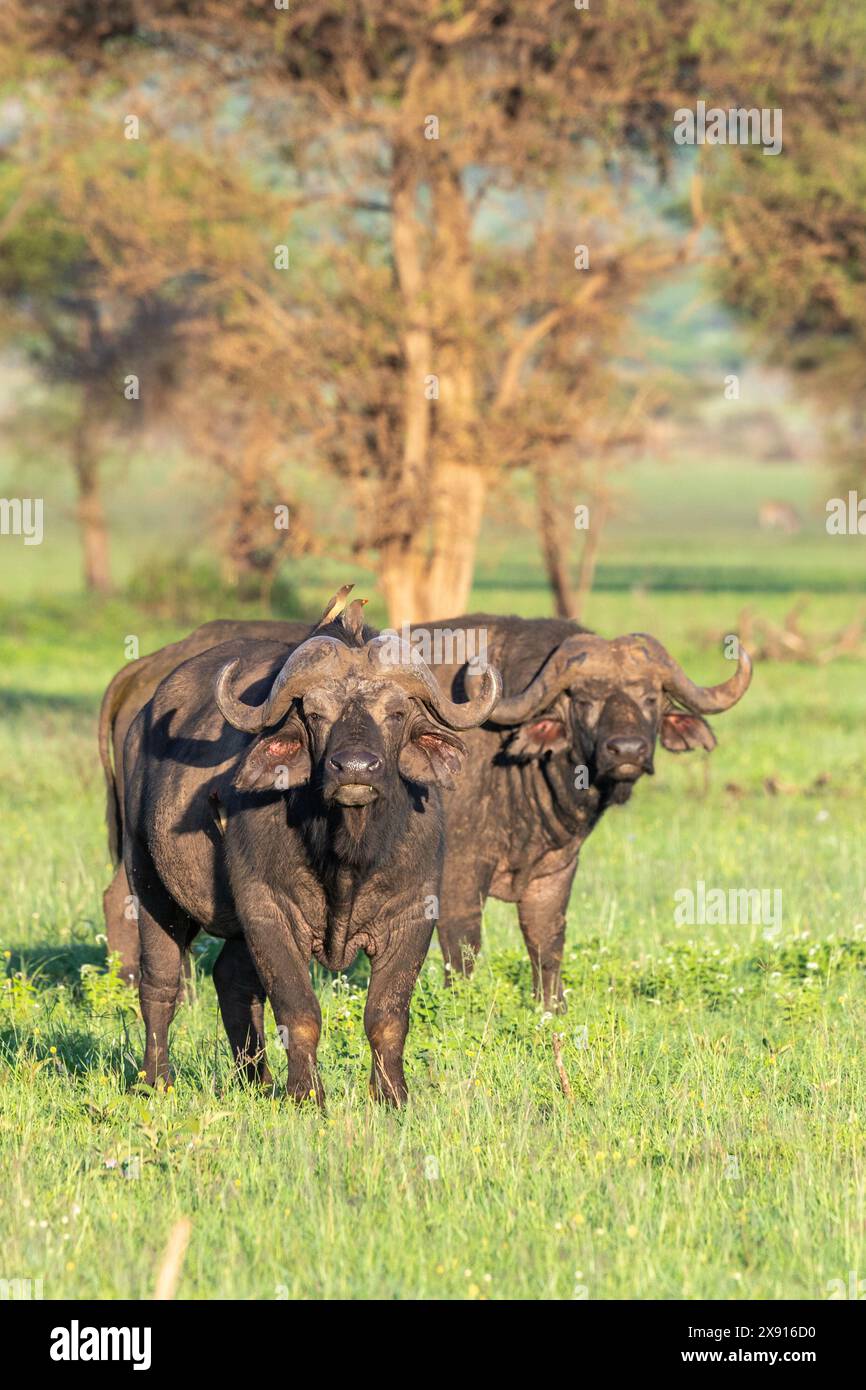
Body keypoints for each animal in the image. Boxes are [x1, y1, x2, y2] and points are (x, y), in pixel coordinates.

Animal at [121, 594, 501, 1104]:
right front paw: (306, 1095)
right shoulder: (268, 911)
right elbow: (298, 1010)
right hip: (149, 883)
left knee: (231, 979)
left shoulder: (413, 912)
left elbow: (387, 1015)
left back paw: (256, 1080)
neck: (347, 853)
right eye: (316, 714)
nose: (355, 768)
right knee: (160, 984)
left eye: (396, 713)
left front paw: (392, 1095)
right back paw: (156, 1079)